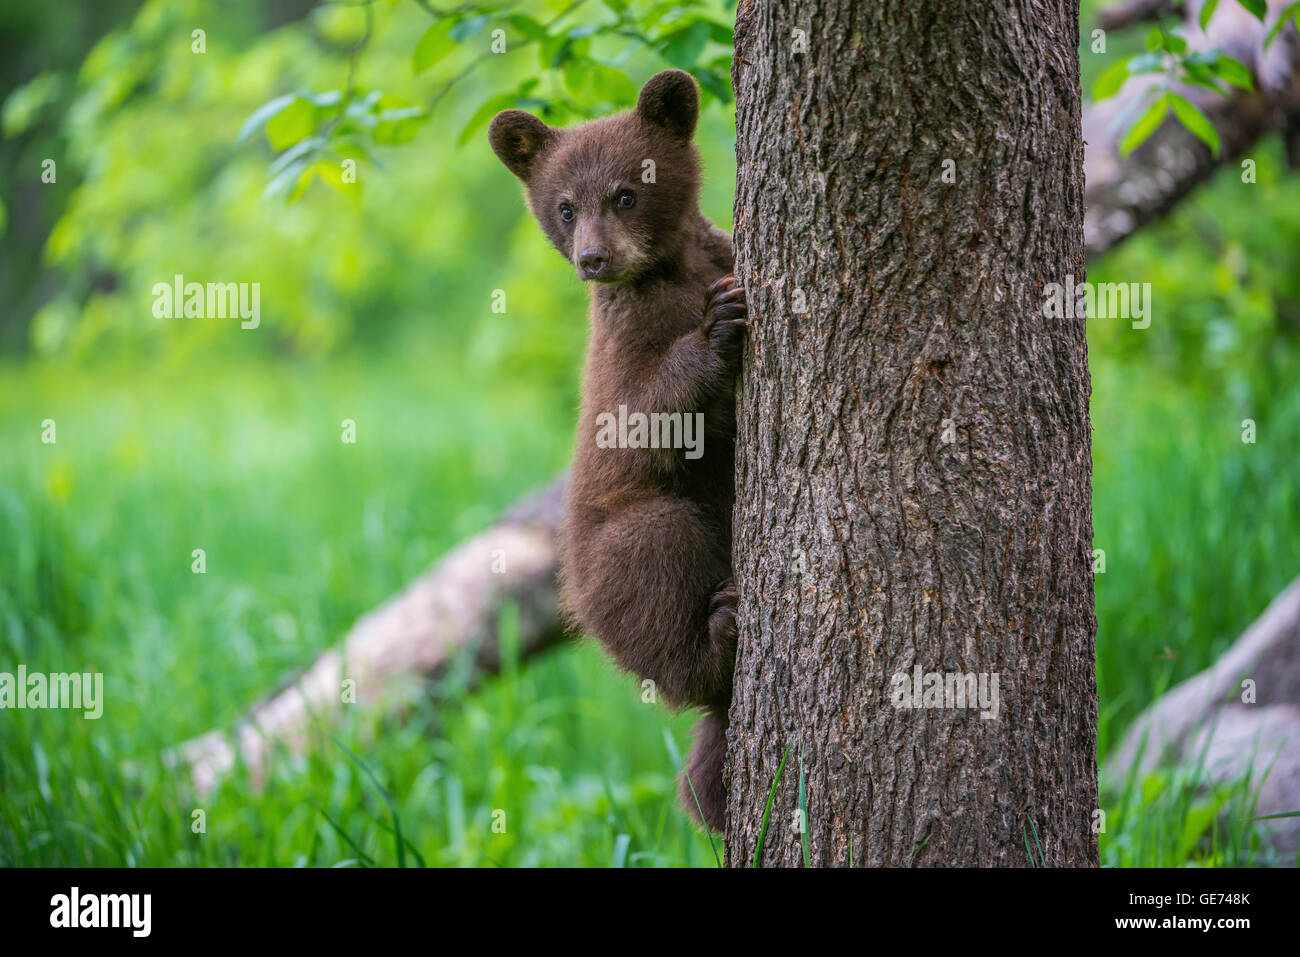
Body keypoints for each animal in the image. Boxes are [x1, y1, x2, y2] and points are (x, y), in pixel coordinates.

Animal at [488, 69, 746, 833]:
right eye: (565, 207)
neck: (671, 272)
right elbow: (640, 413)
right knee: (657, 564)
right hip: (618, 550)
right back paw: (718, 636)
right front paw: (719, 328)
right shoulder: (621, 343)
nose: (594, 259)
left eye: (627, 193)